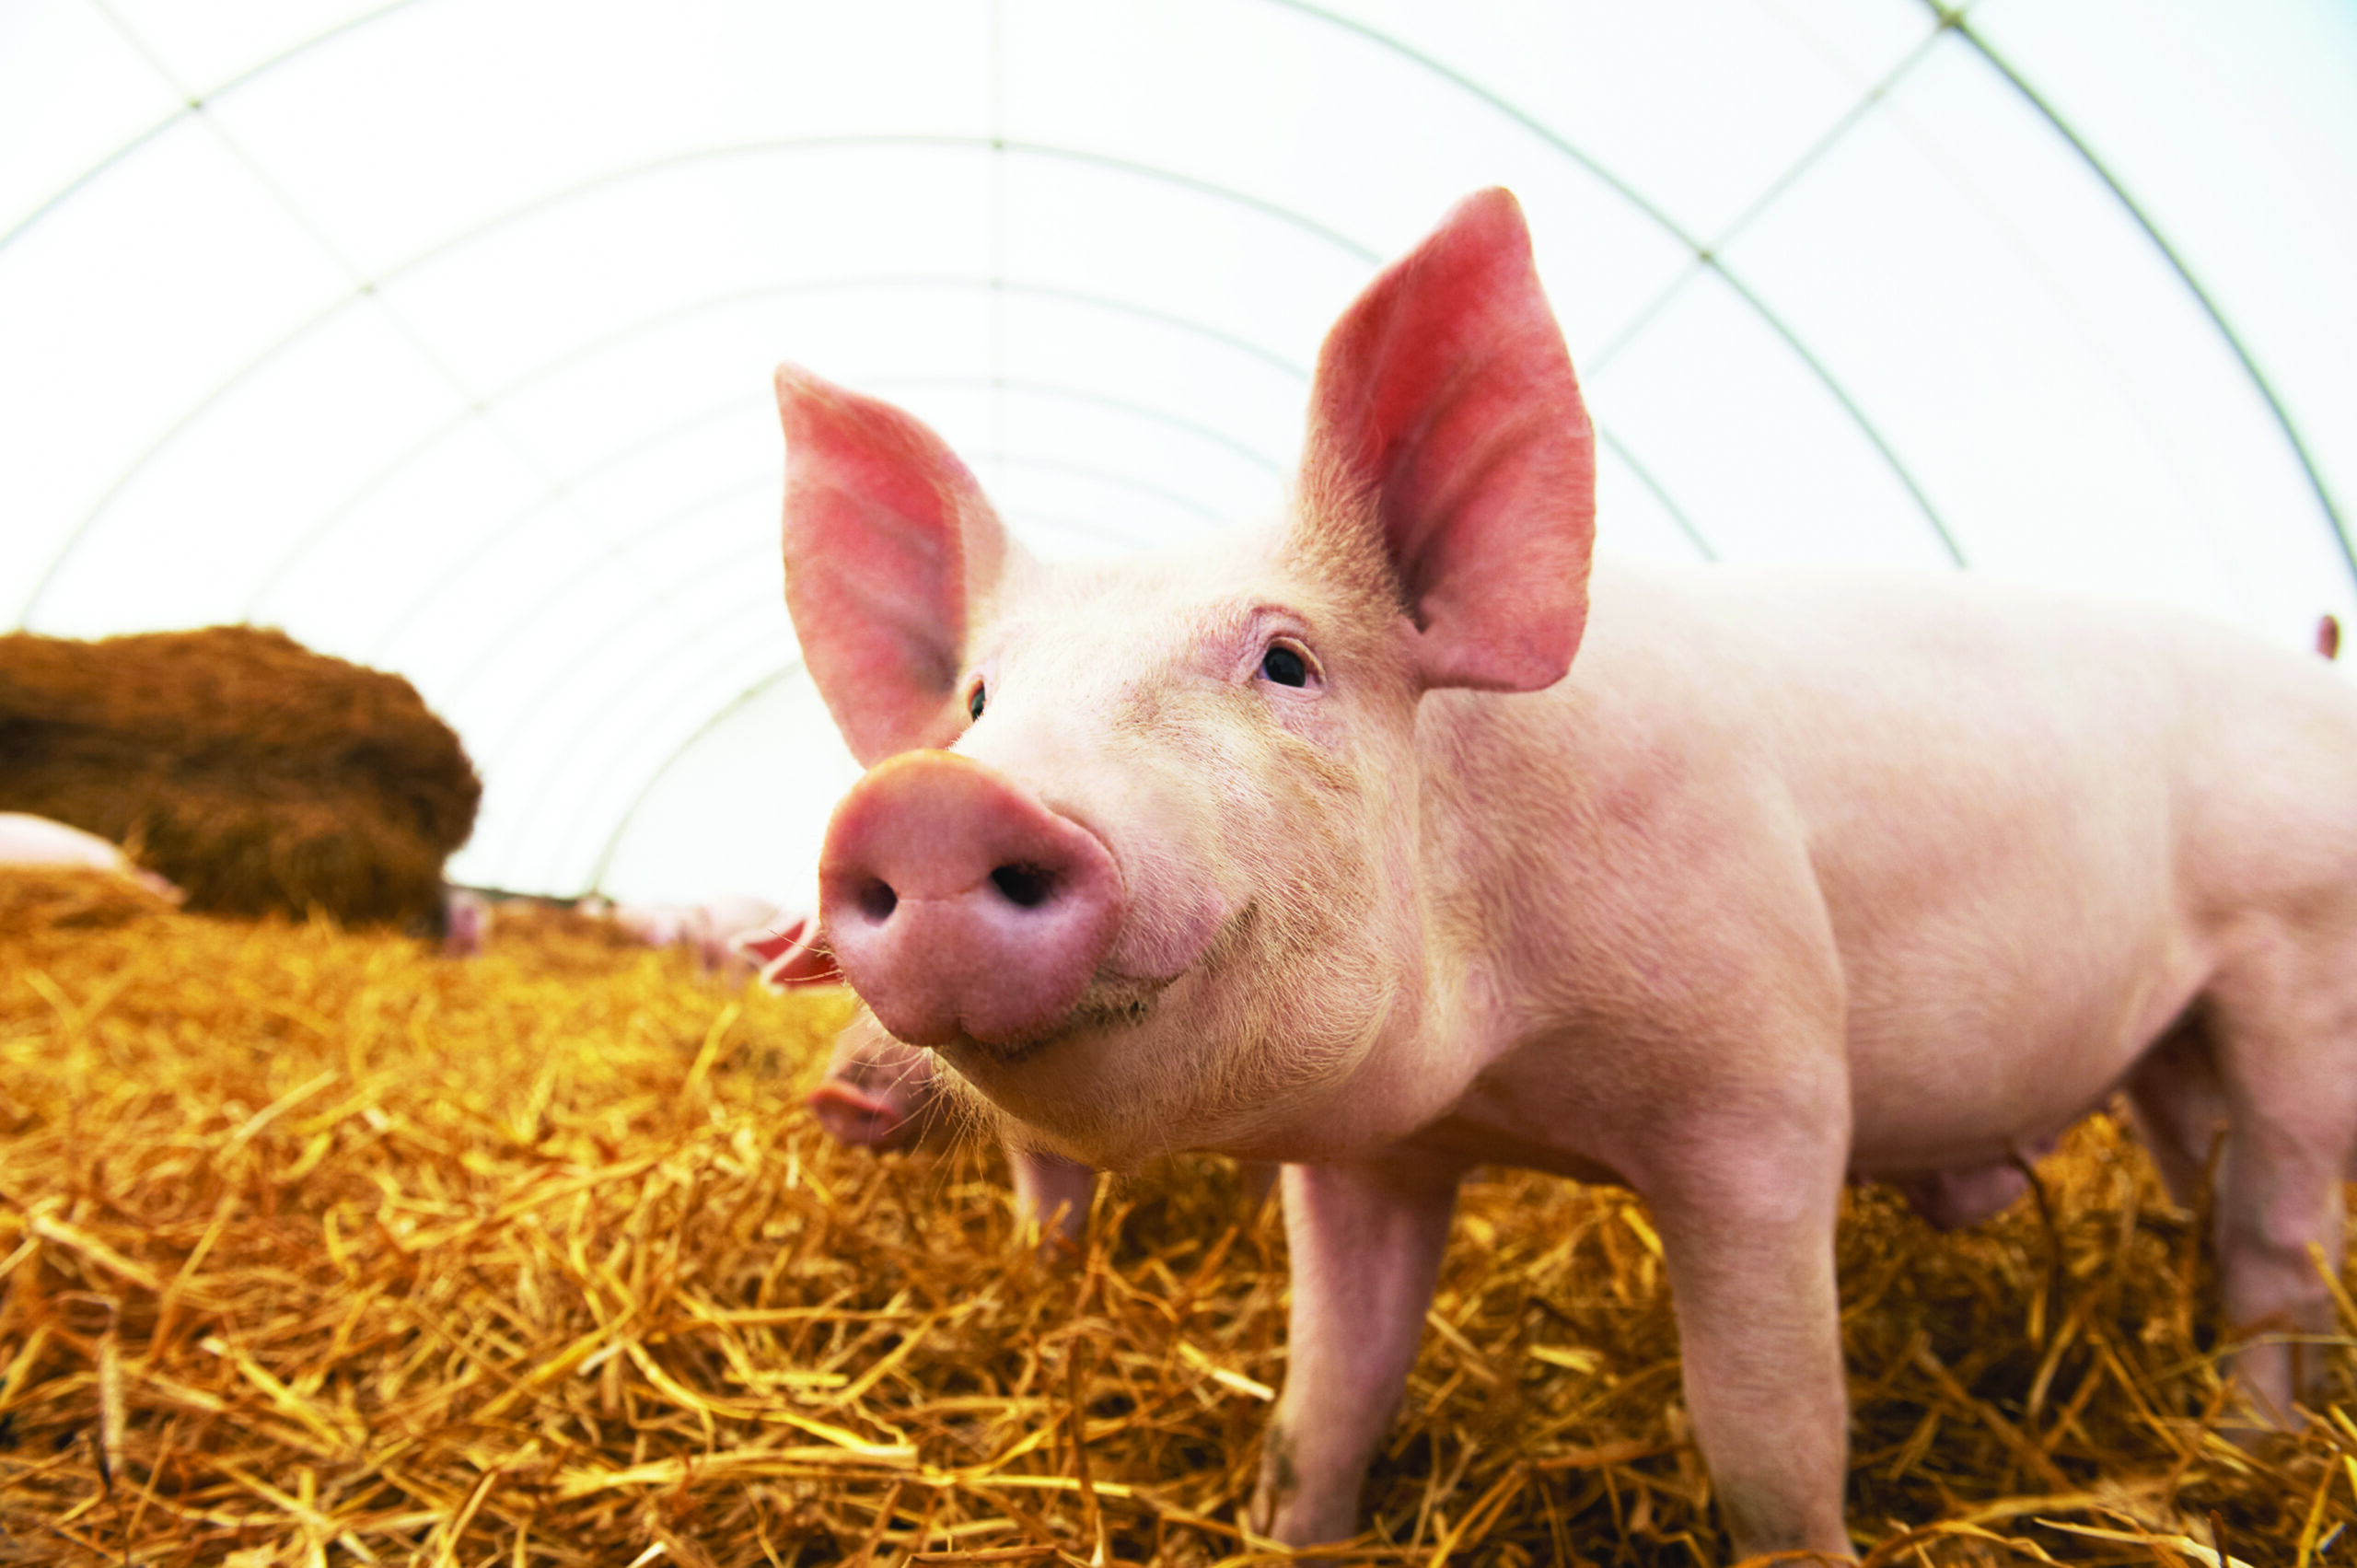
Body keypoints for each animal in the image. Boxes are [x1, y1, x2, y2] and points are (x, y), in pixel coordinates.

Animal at [773, 187, 2357, 1560]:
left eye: (1287, 660)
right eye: (979, 699)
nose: (929, 798)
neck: (1515, 1071)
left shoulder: (1767, 1086)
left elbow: (1767, 1432)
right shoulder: (1365, 1157)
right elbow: (1325, 1400)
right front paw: (1293, 1524)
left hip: (2300, 969)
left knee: (2278, 1238)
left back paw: (2249, 1445)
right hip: (2176, 1038)